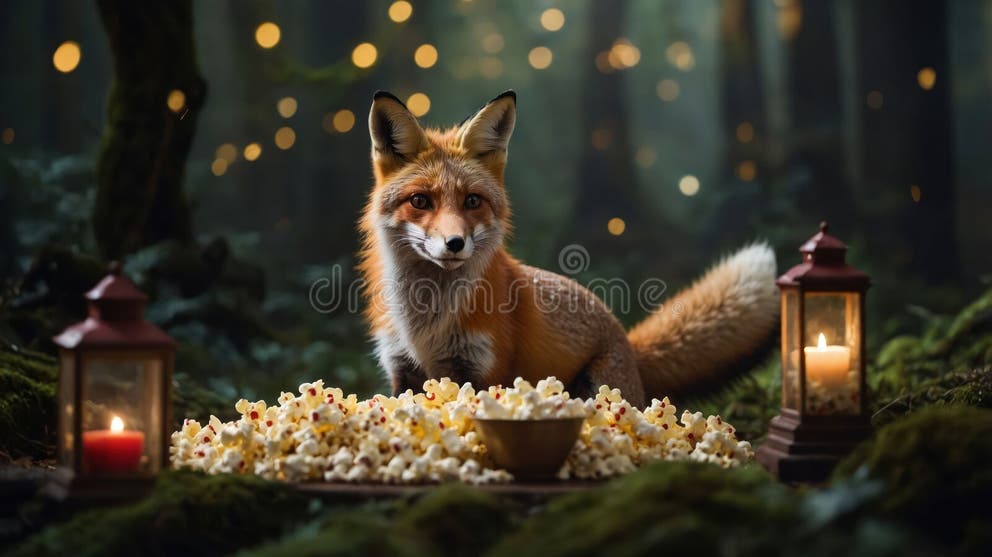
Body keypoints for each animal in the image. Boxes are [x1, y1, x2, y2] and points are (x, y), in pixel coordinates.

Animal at [358, 90, 779, 407]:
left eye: (472, 201)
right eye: (421, 201)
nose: (455, 243)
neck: (427, 325)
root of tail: (628, 342)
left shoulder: (482, 372)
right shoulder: (403, 371)